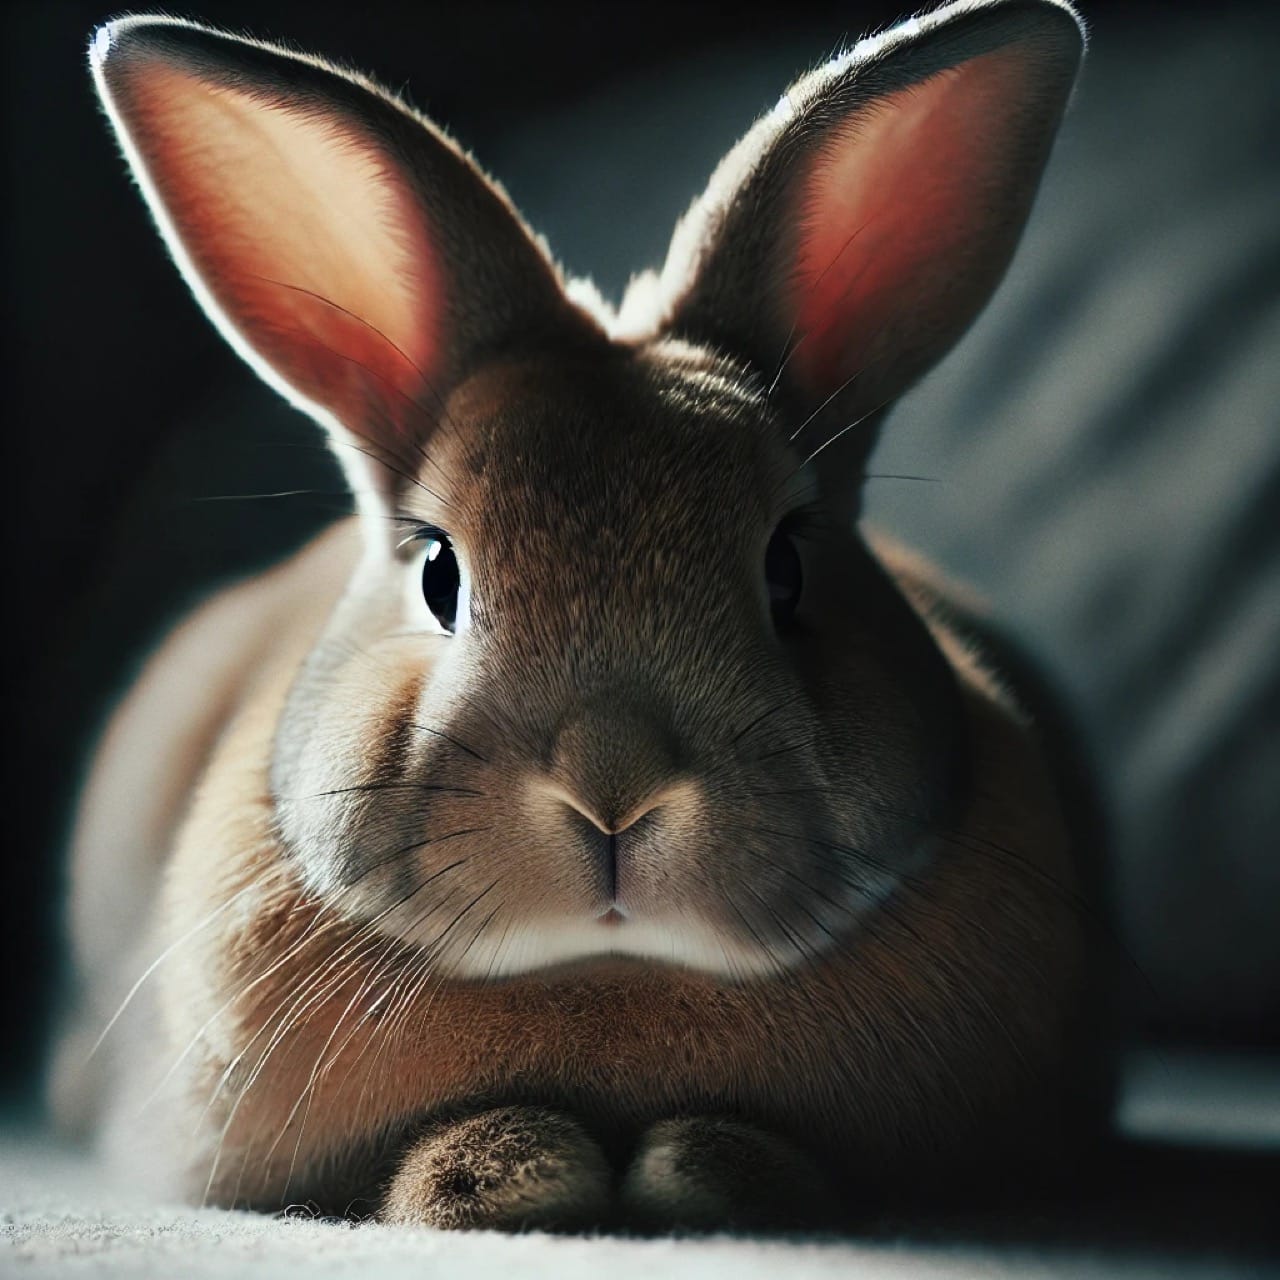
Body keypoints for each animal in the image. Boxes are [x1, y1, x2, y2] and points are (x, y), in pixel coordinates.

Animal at [54, 0, 1108, 1233]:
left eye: (788, 567)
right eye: (439, 573)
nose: (613, 787)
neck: (607, 973)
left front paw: (701, 1171)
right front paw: (507, 1172)